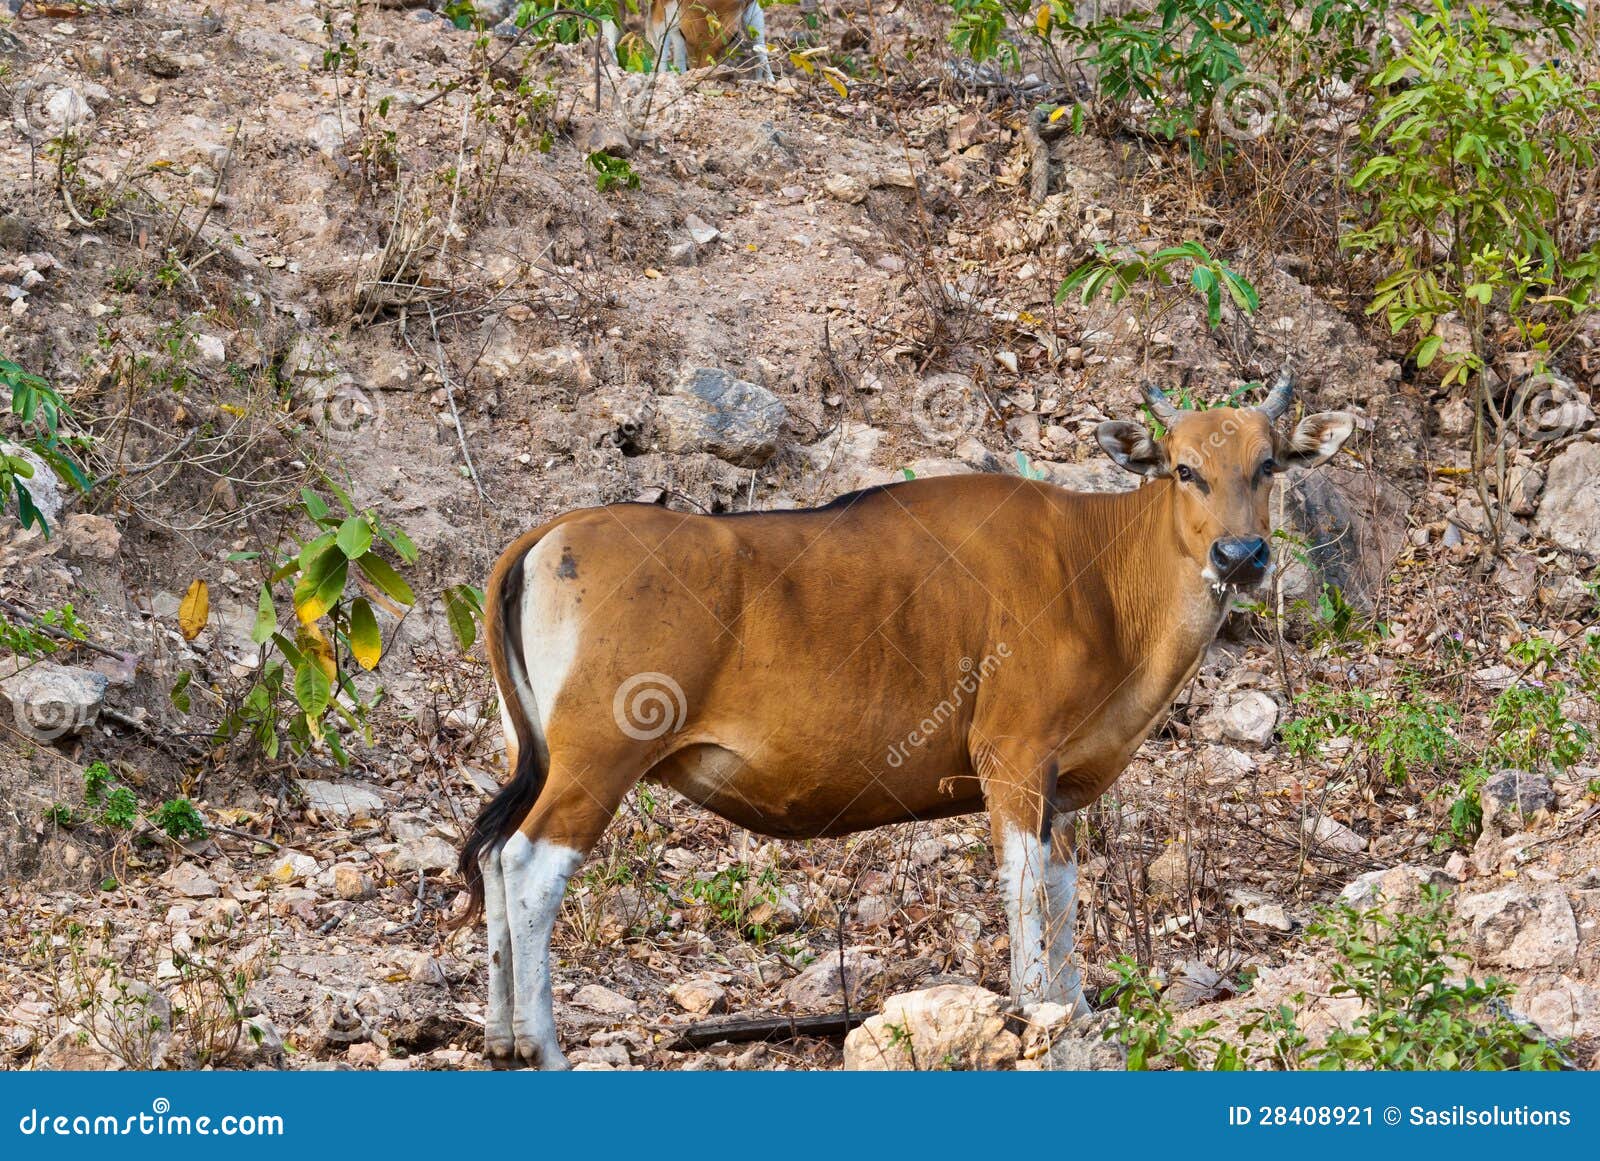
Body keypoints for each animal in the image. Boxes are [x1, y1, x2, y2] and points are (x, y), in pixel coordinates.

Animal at [458, 372, 1354, 1069]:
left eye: (1267, 465)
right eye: (1184, 469)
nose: (1241, 556)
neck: (1097, 570)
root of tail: (549, 533)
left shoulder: (1062, 787)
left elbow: (1063, 899)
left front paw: (1074, 1016)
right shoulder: (1013, 756)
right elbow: (1028, 898)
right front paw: (1036, 1016)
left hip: (536, 754)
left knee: (497, 857)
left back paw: (501, 1039)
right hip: (599, 755)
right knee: (531, 867)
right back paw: (543, 1044)